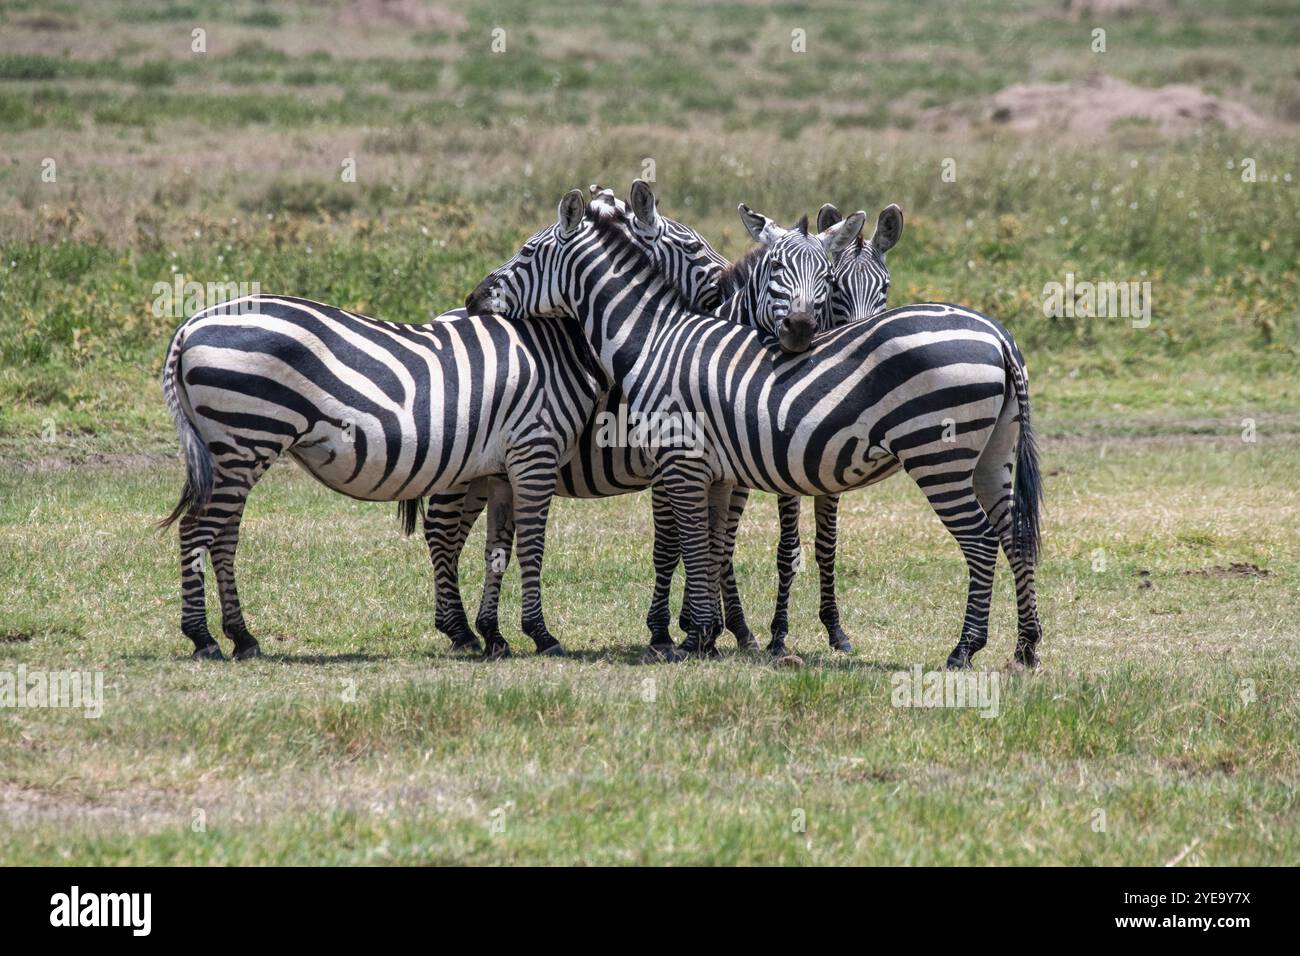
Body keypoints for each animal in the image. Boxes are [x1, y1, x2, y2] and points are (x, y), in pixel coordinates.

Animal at [465, 190, 1044, 669]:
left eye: (525, 254)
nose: (473, 299)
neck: (654, 338)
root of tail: (997, 333)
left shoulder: (681, 460)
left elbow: (691, 544)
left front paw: (694, 637)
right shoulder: (713, 470)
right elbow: (709, 545)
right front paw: (708, 634)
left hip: (939, 458)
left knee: (981, 542)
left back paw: (964, 649)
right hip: (992, 457)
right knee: (1015, 537)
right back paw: (1027, 648)